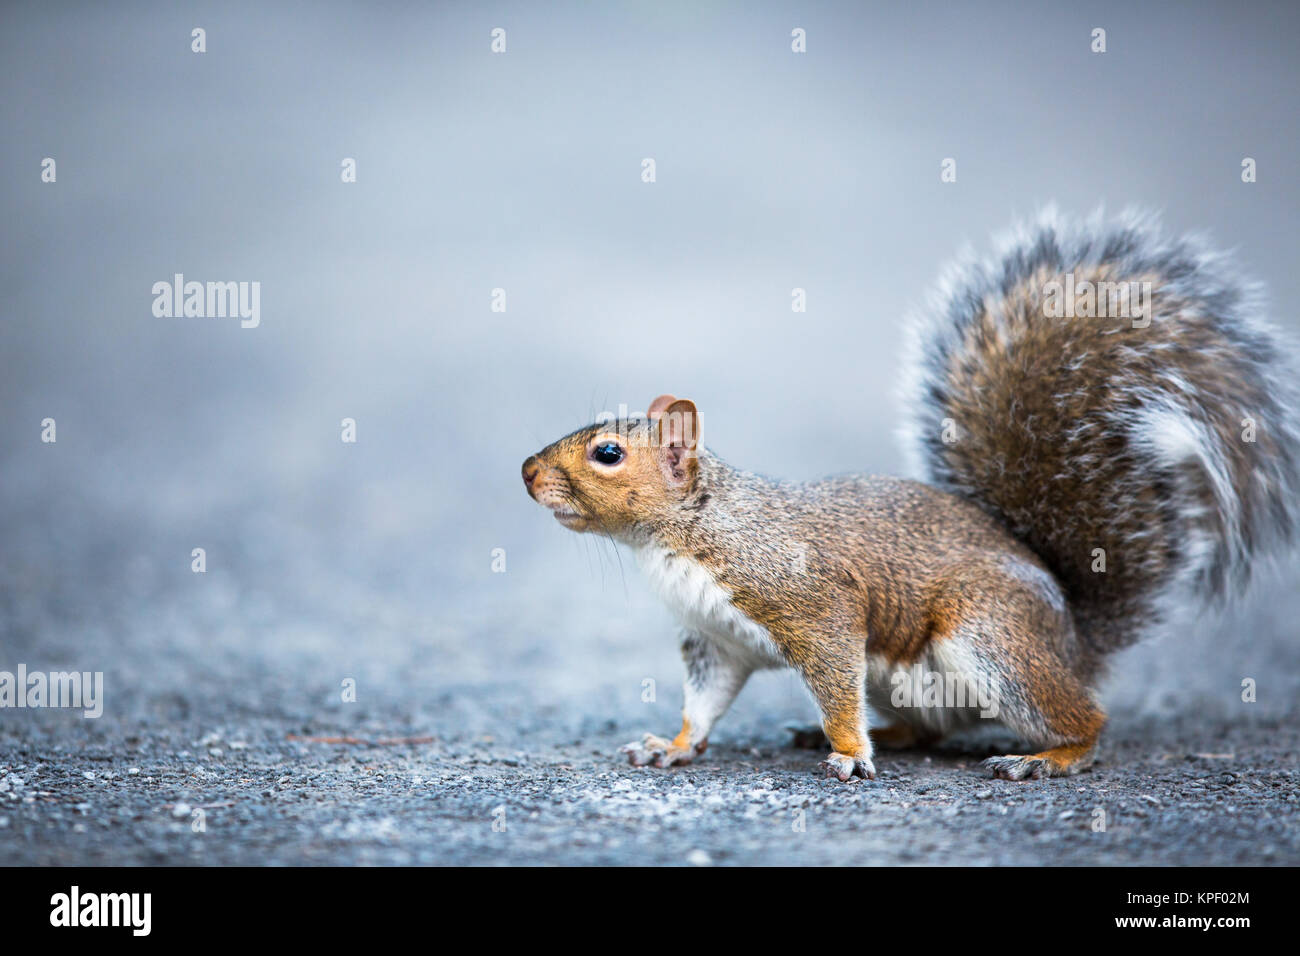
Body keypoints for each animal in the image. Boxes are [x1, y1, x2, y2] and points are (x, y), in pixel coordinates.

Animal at [521, 210, 1300, 781]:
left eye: (608, 454)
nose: (526, 472)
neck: (684, 532)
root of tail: (1075, 639)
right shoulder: (717, 638)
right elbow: (706, 699)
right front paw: (674, 744)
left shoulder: (812, 603)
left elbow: (835, 678)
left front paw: (847, 754)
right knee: (933, 728)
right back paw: (883, 735)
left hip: (990, 636)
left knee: (1083, 719)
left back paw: (1044, 757)